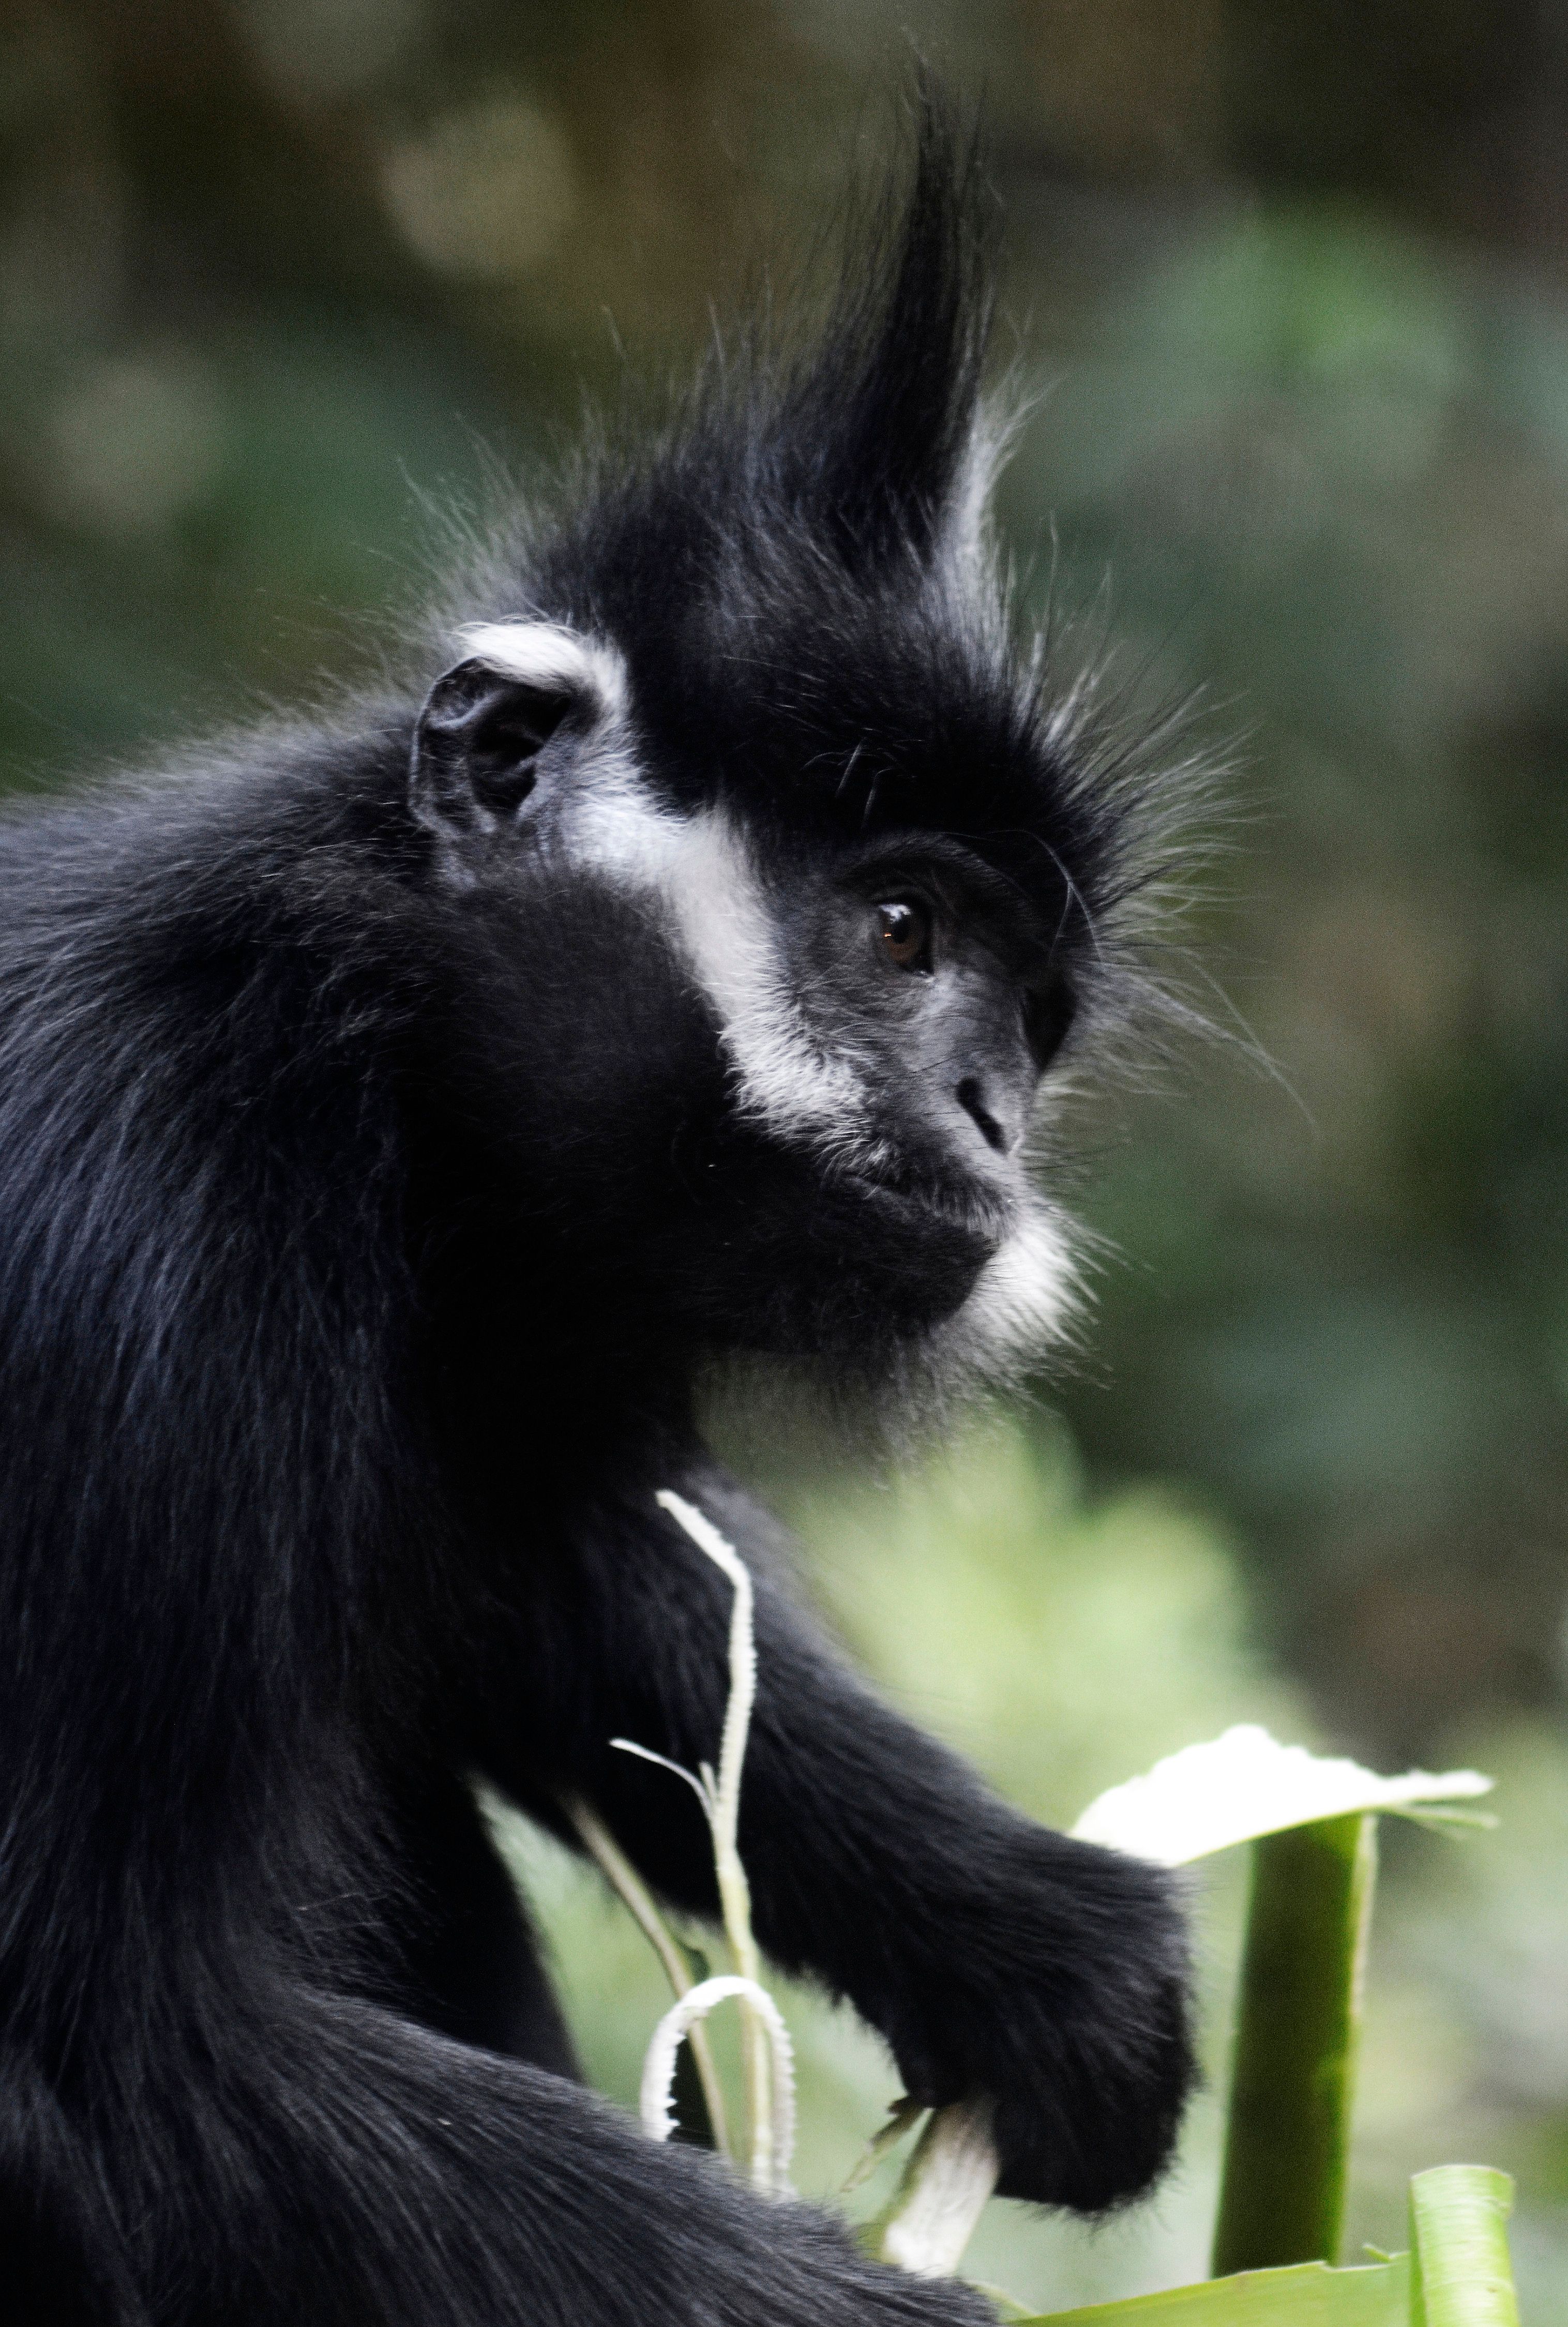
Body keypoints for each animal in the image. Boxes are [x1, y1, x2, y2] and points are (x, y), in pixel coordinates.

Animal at [0, 95, 1195, 2327]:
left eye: (1031, 1019)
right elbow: (87, 2044)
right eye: (899, 934)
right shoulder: (116, 1237)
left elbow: (553, 1565)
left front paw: (1046, 1954)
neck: (365, 1059)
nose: (990, 1119)